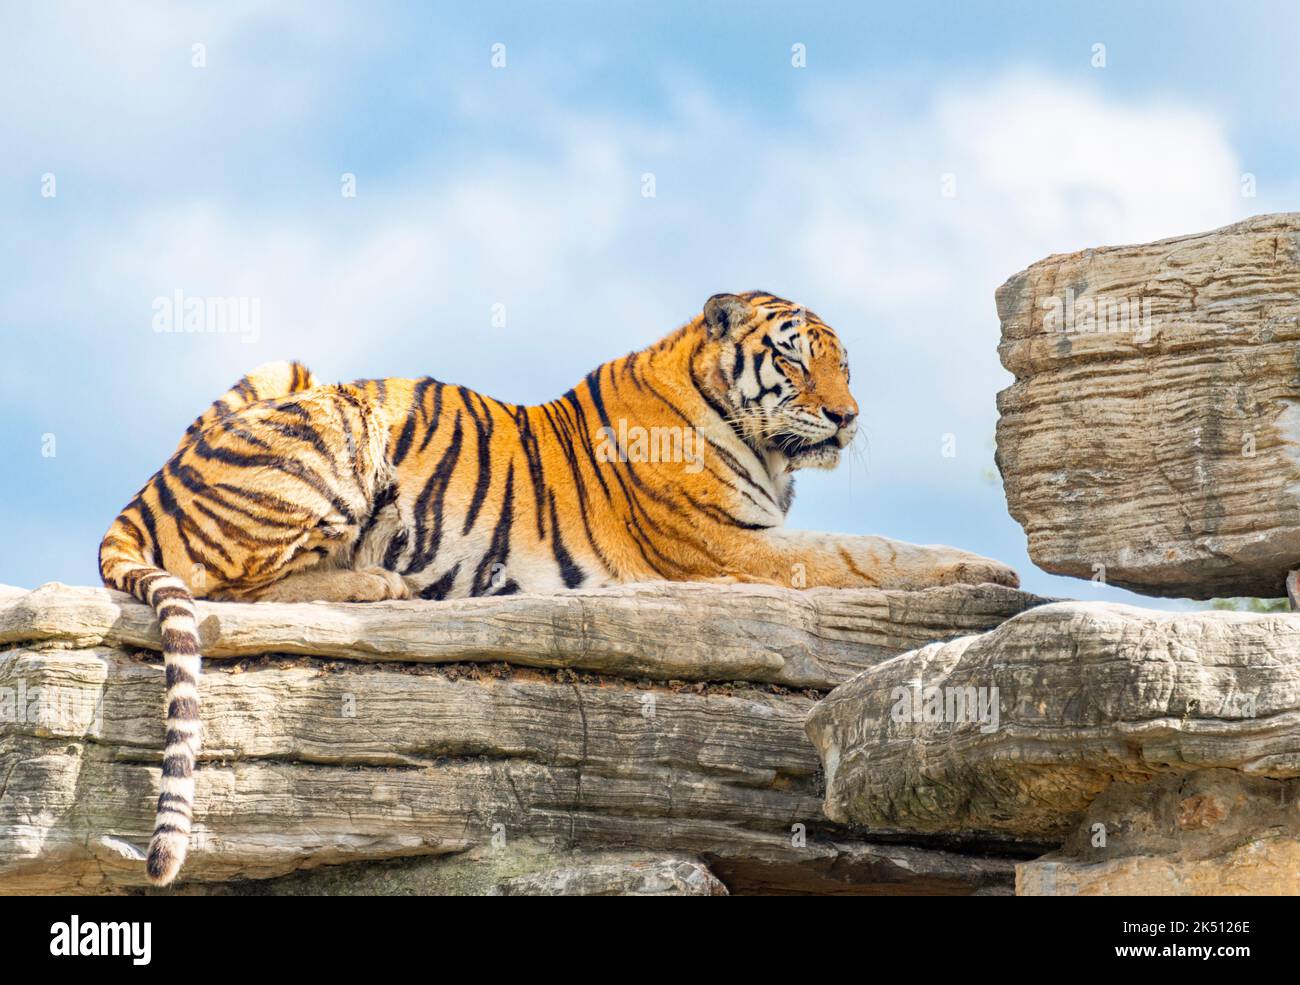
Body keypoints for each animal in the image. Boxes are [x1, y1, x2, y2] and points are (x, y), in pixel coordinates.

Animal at [98, 290, 1019, 886]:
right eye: (794, 356)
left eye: (845, 364)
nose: (846, 417)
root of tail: (140, 497)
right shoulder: (737, 546)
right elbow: (866, 551)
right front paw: (986, 568)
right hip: (337, 421)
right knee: (231, 590)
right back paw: (377, 588)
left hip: (285, 367)